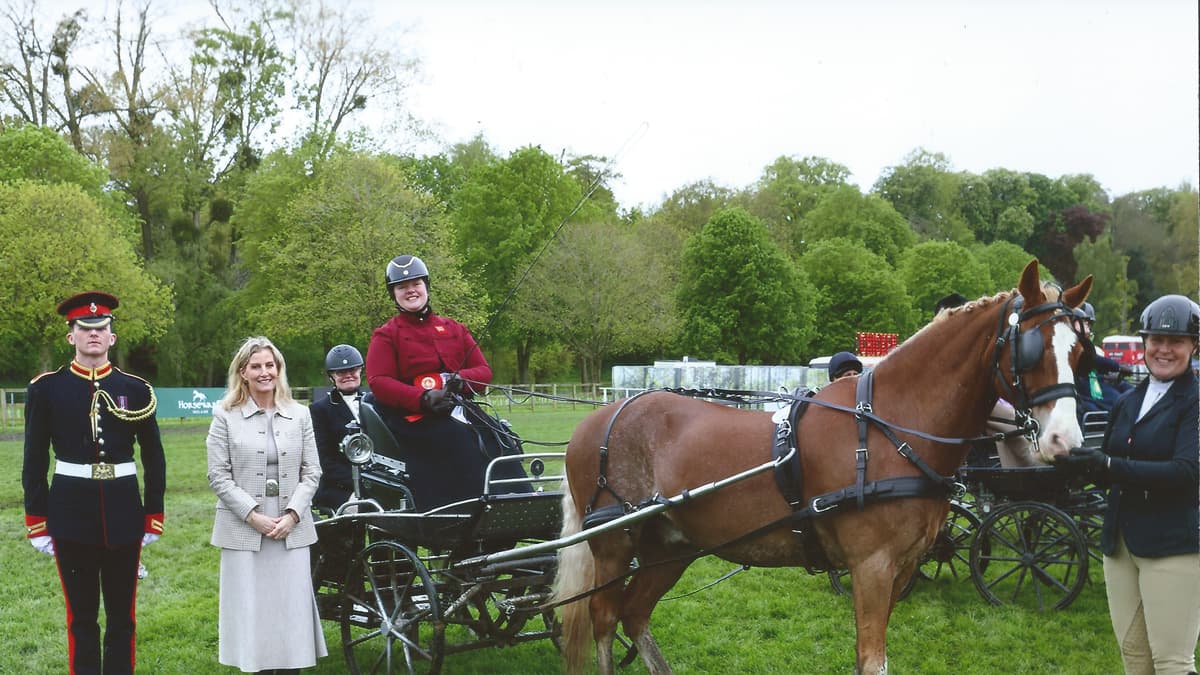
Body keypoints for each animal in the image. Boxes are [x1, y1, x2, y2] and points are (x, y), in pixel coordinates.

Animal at [552, 260, 1092, 674]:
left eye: (1079, 351)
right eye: (1031, 349)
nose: (1066, 442)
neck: (890, 427)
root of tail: (597, 419)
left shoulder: (901, 569)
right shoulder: (870, 566)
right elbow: (872, 661)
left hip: (671, 546)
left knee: (635, 615)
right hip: (615, 544)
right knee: (604, 616)